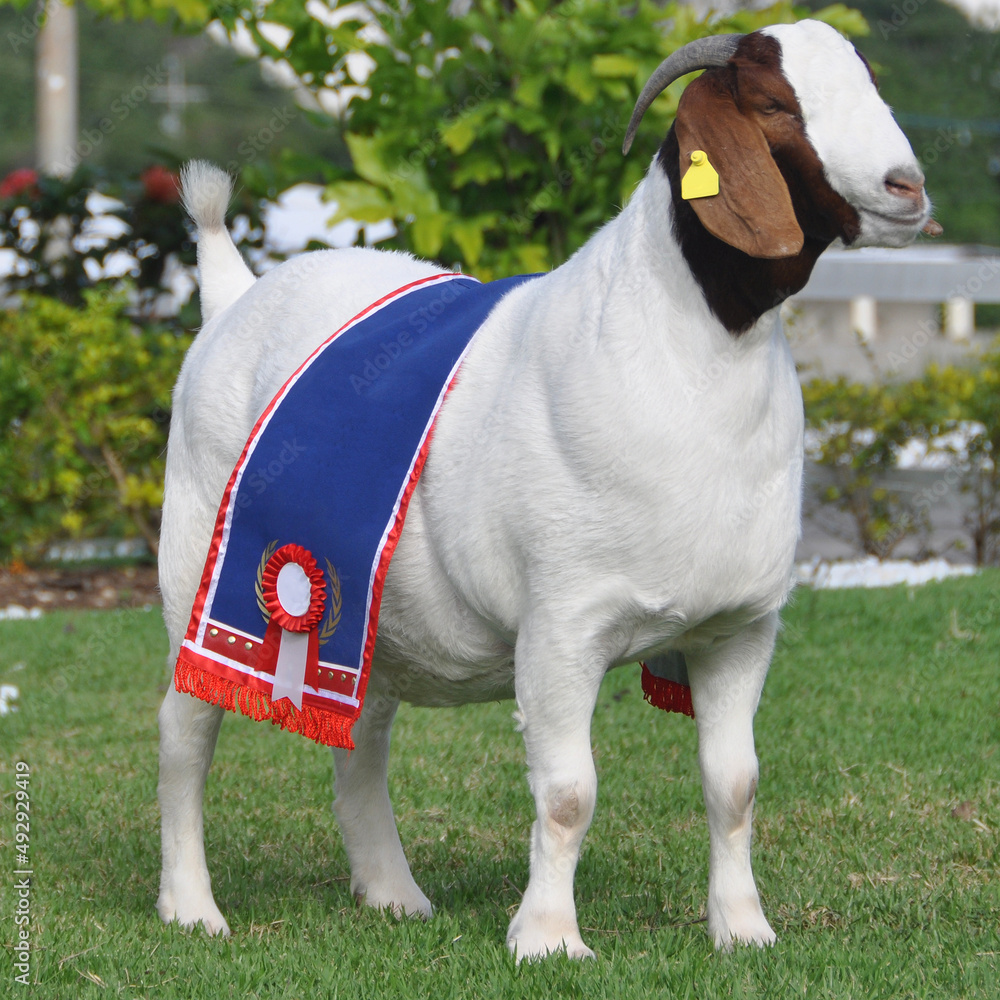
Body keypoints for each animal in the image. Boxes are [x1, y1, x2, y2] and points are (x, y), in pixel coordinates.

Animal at [156, 19, 935, 960]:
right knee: (186, 733)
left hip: (360, 610)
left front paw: (744, 929)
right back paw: (192, 908)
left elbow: (736, 785)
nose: (906, 186)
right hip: (207, 572)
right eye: (776, 102)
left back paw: (392, 893)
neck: (687, 342)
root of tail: (233, 293)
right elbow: (568, 793)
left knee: (362, 739)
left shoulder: (740, 628)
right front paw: (549, 938)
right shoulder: (564, 625)